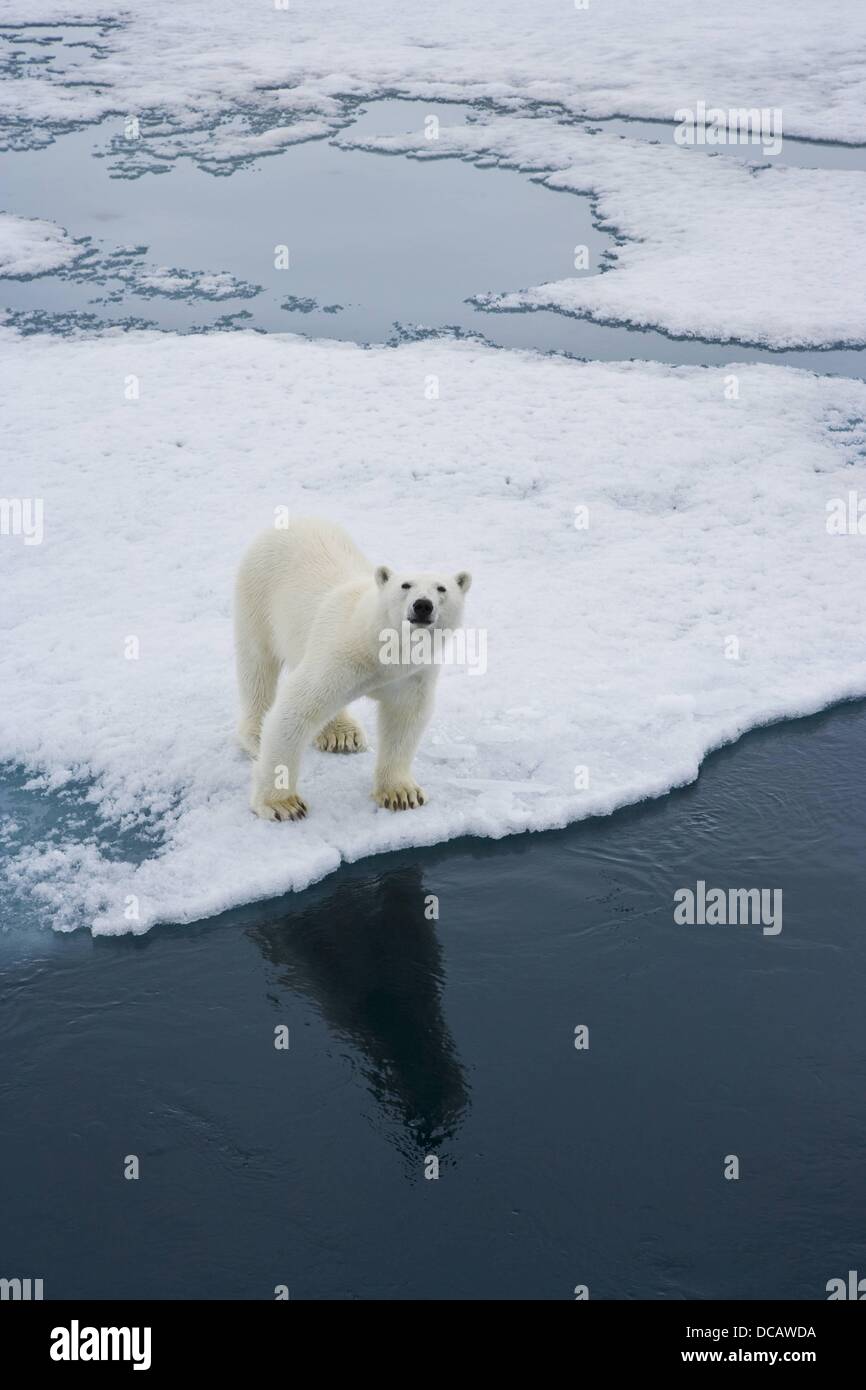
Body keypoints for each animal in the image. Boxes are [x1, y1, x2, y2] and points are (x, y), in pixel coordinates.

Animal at [234, 517, 472, 821]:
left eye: (442, 589)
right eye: (405, 585)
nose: (422, 606)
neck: (379, 645)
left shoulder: (411, 675)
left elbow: (405, 718)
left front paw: (401, 793)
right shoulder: (340, 654)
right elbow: (296, 708)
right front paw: (282, 804)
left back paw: (342, 734)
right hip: (257, 593)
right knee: (257, 663)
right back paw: (255, 733)